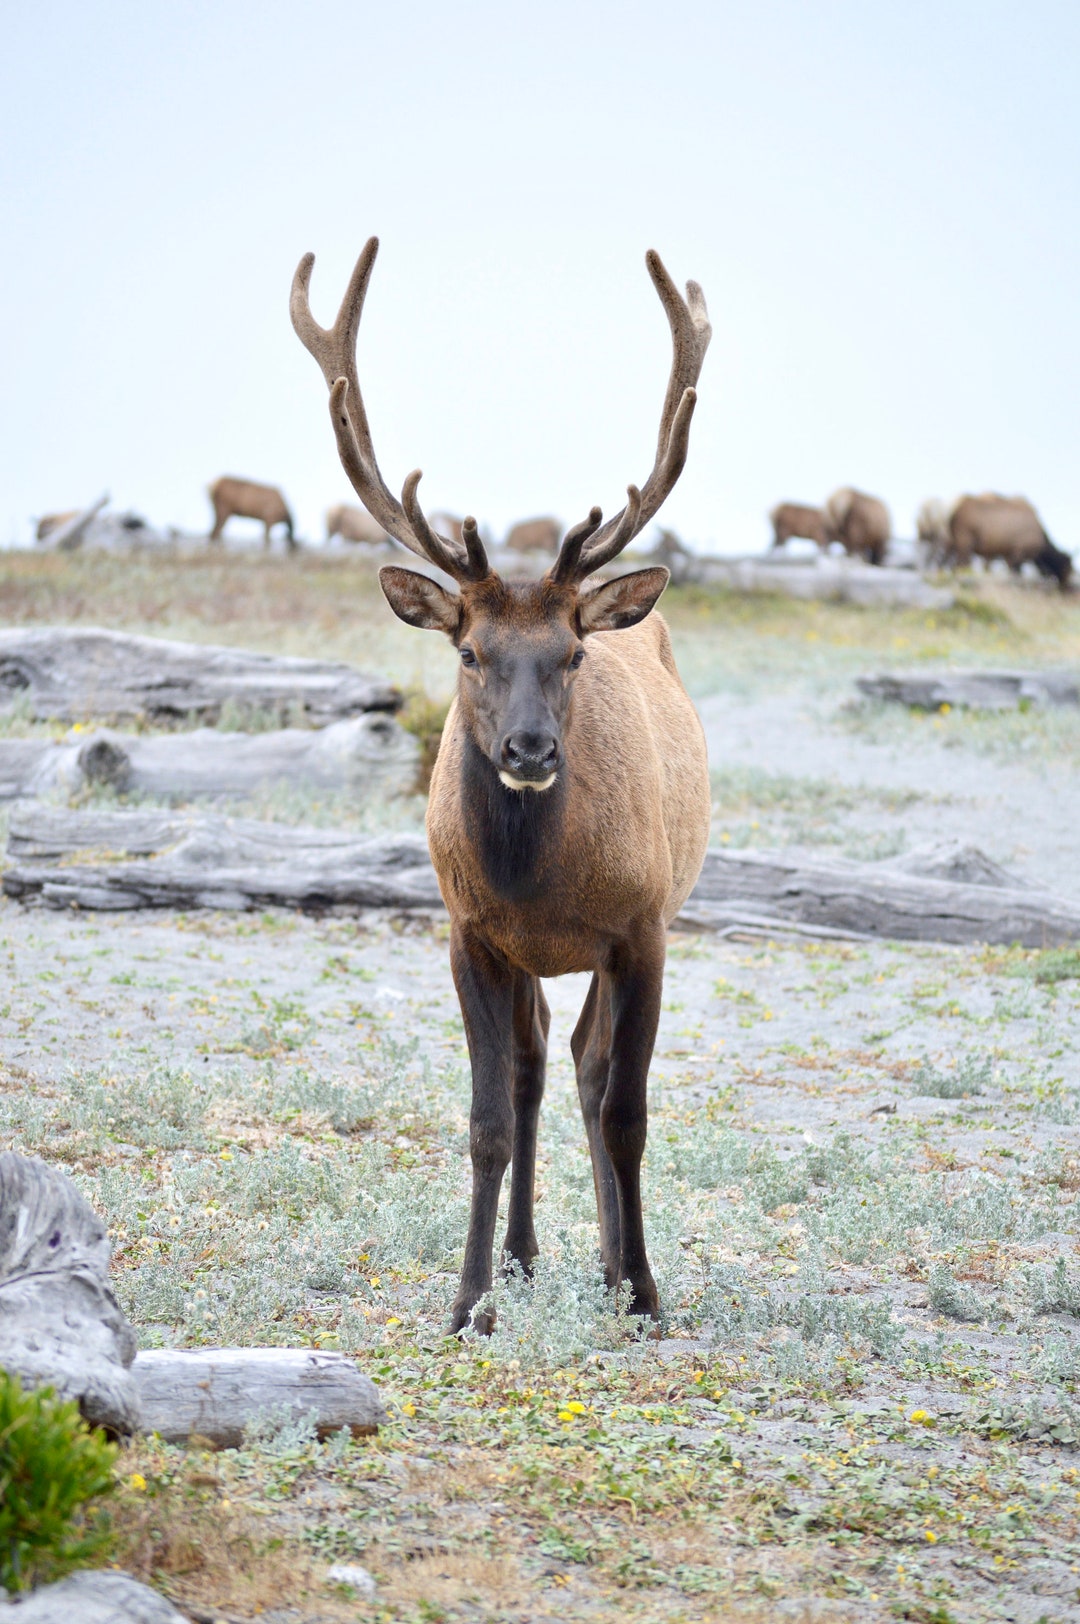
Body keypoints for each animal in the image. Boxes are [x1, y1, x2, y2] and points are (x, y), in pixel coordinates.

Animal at [291, 238, 712, 1335]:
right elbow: (485, 1115)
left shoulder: (643, 928)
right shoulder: (469, 930)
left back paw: (607, 1267)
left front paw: (643, 1293)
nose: (528, 749)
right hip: (524, 957)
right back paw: (525, 1258)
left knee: (587, 1069)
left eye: (571, 654)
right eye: (471, 651)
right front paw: (469, 1297)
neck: (540, 880)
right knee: (533, 1068)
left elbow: (627, 1109)